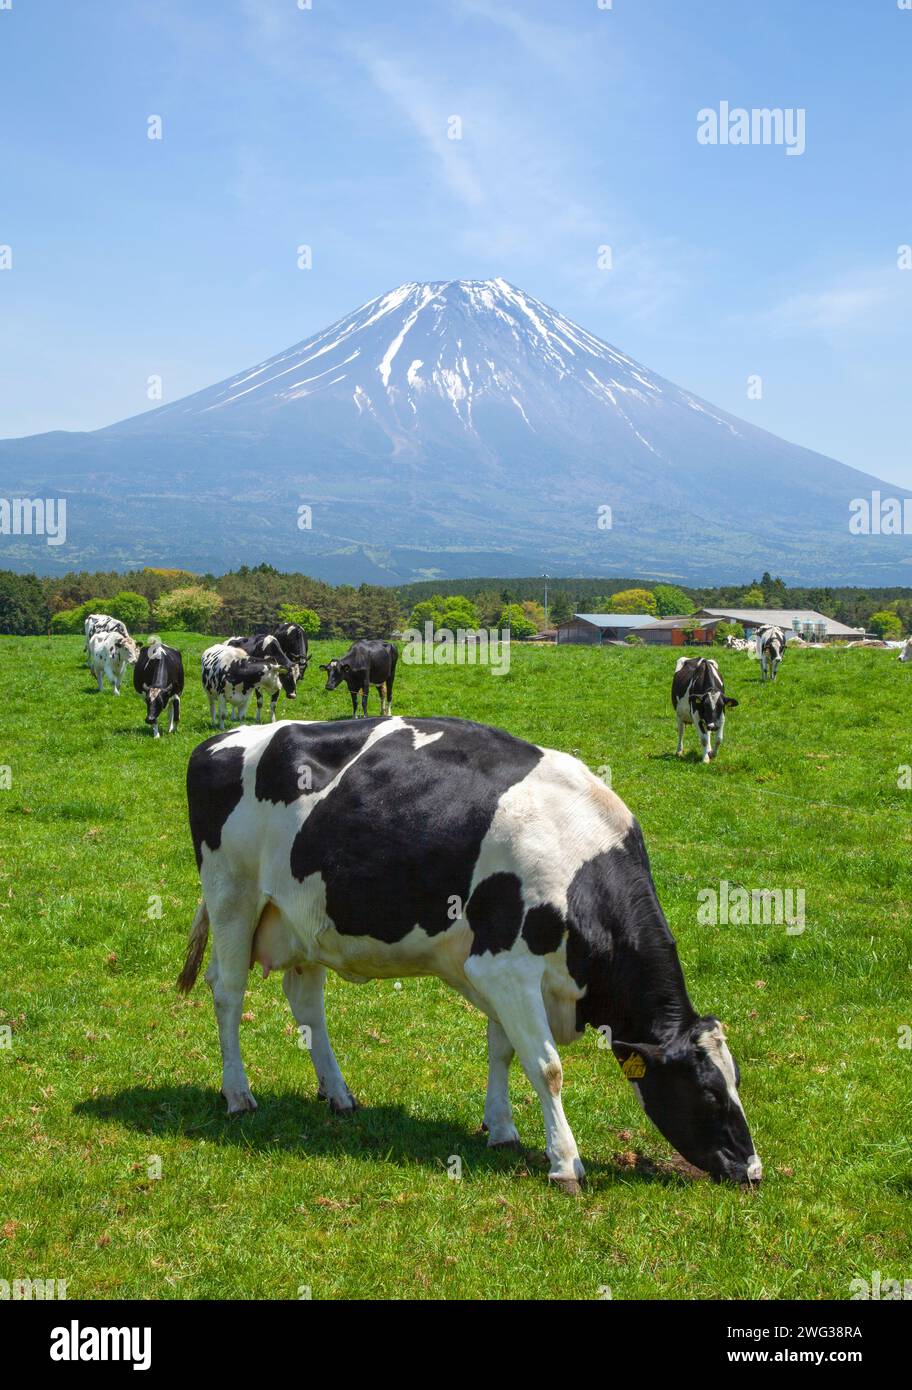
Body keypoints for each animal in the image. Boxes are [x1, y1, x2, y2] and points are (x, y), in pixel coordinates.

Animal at [179, 717, 761, 1191]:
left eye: (736, 1083)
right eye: (709, 1093)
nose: (752, 1170)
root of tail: (218, 741)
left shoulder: (504, 976)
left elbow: (503, 1051)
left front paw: (502, 1129)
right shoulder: (506, 966)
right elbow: (546, 1066)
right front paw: (565, 1163)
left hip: (303, 919)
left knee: (305, 1002)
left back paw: (338, 1093)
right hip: (232, 895)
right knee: (228, 992)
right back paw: (238, 1094)